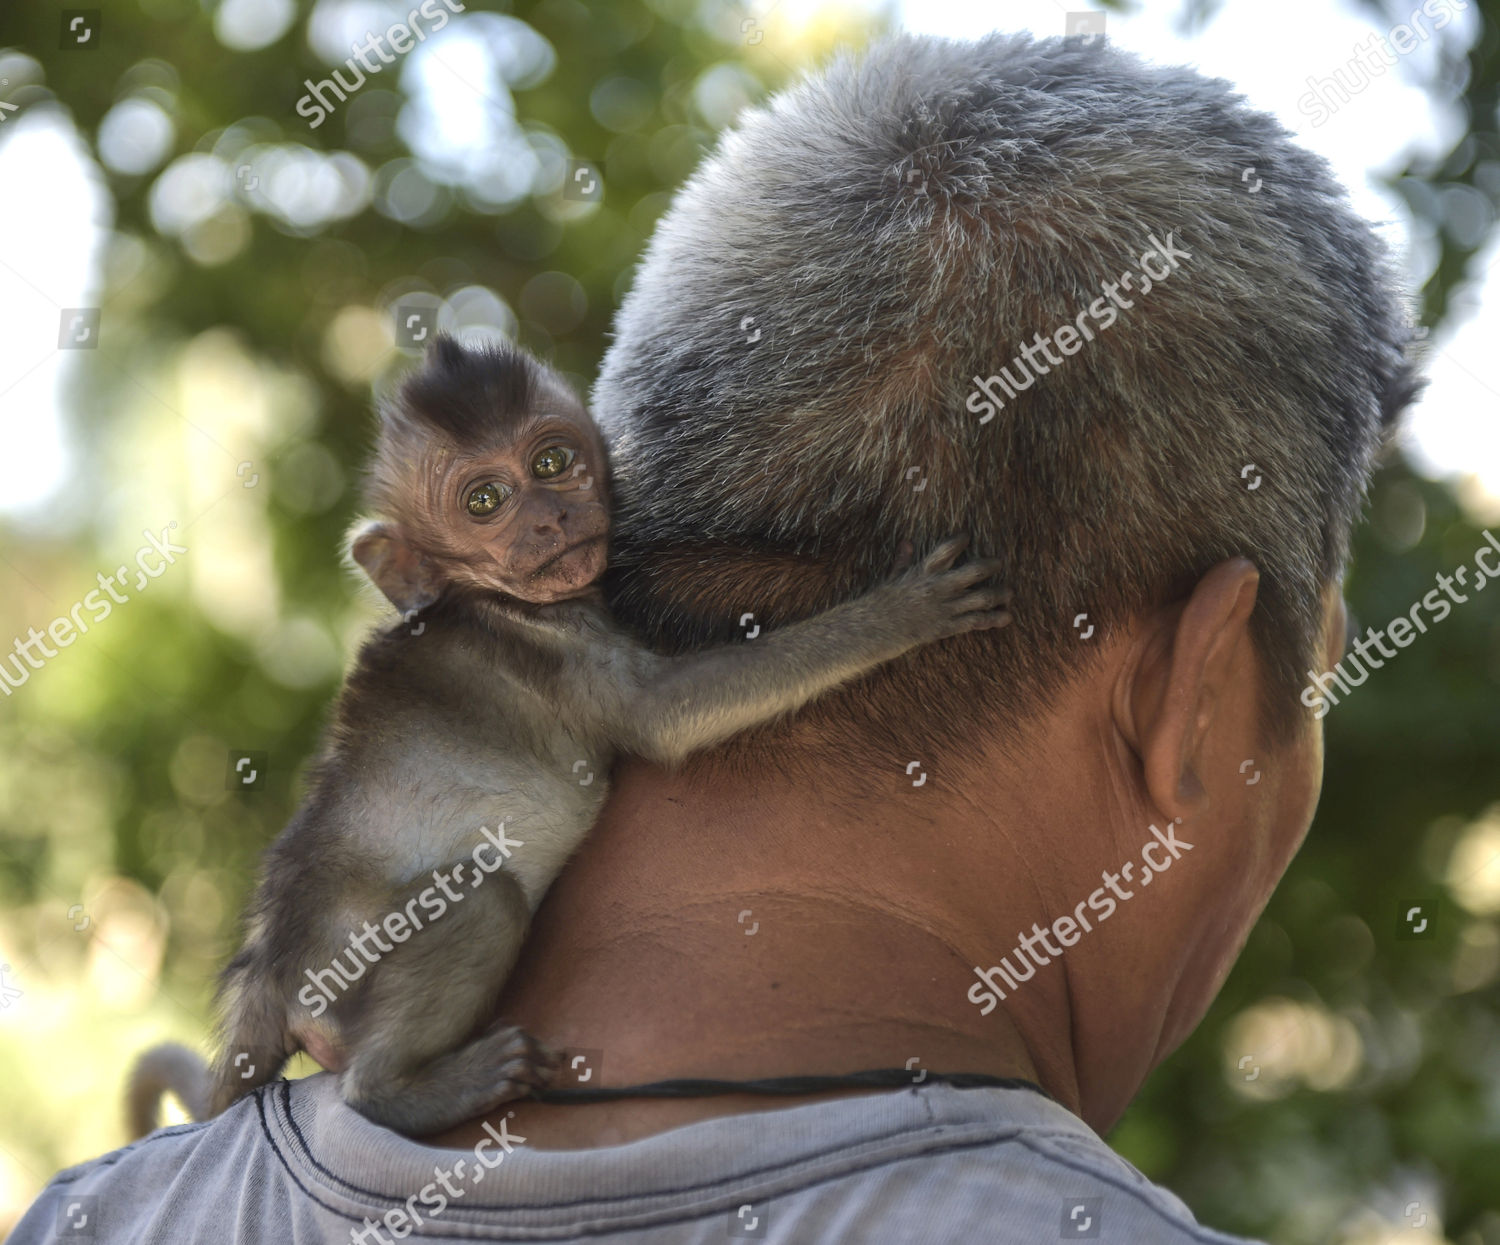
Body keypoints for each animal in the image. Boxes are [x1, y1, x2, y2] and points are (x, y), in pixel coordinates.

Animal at [126, 334, 1012, 1139]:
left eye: (552, 461)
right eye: (485, 502)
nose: (551, 516)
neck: (488, 597)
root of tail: (273, 961)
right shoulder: (550, 651)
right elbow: (665, 713)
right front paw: (900, 611)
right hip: (351, 965)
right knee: (478, 909)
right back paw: (409, 1090)